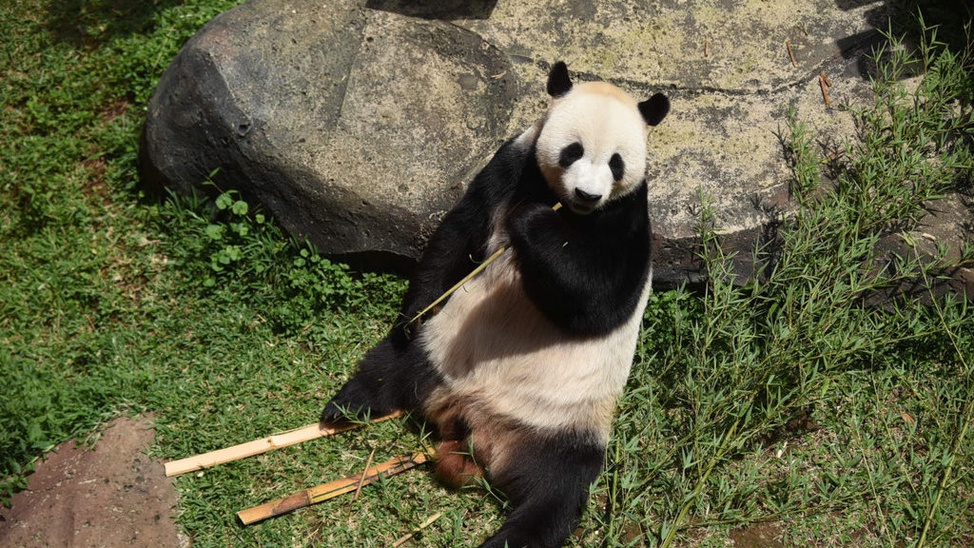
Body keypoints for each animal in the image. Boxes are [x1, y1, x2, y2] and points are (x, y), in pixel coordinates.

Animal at [320, 61, 669, 548]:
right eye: (573, 151)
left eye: (617, 163)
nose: (587, 194)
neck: (567, 210)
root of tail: (472, 417)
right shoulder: (512, 165)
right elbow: (459, 236)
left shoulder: (629, 215)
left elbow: (602, 301)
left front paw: (534, 226)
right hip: (437, 351)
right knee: (388, 365)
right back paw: (345, 405)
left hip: (565, 426)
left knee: (557, 492)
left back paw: (513, 536)